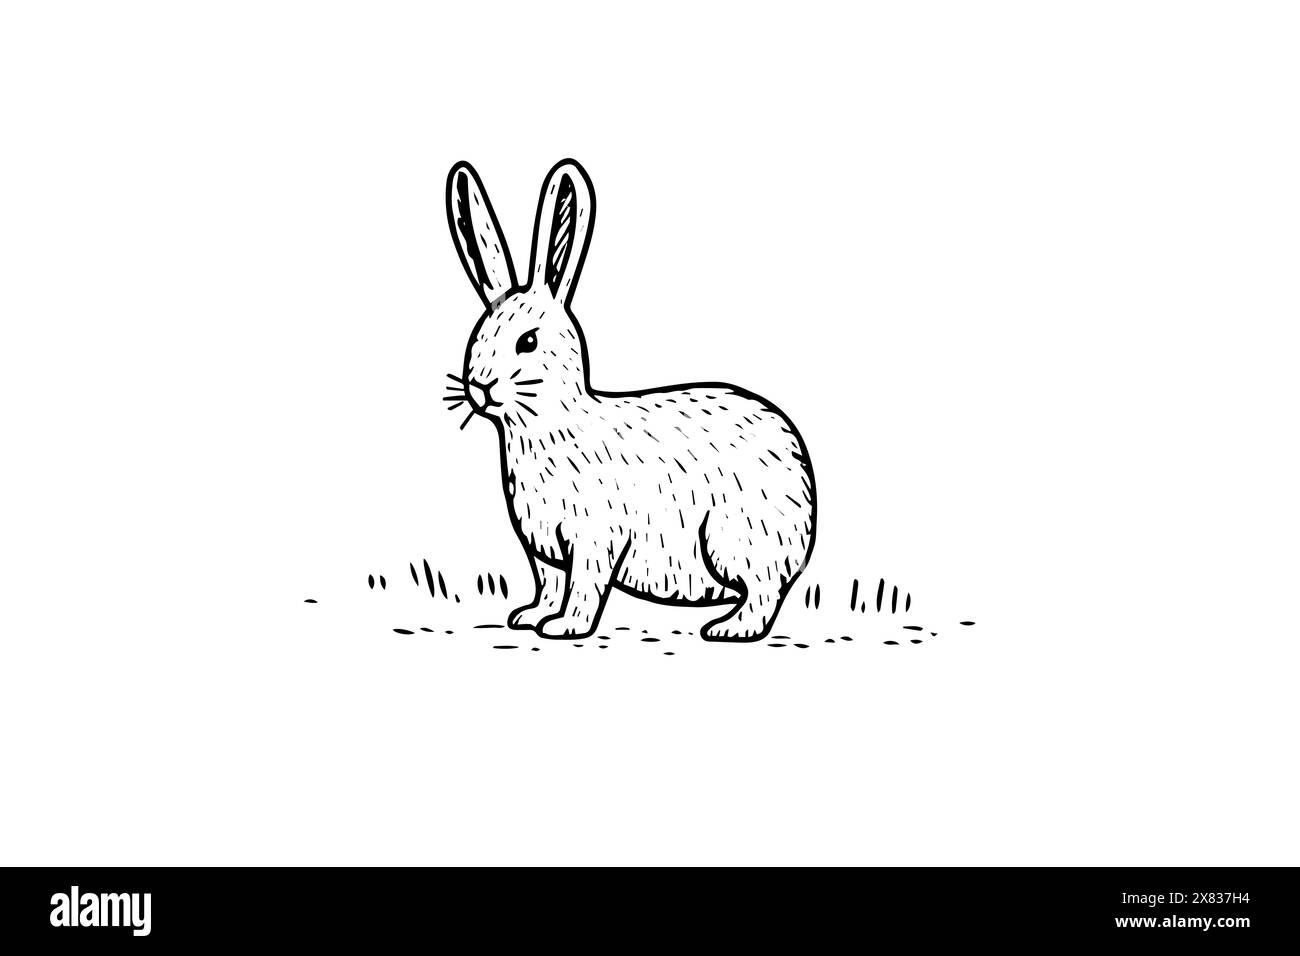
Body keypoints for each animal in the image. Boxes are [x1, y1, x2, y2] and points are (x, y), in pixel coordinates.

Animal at [444, 159, 816, 641]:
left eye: (527, 341)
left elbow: (585, 586)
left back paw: (728, 629)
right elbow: (550, 585)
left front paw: (565, 627)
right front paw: (528, 618)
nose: (480, 387)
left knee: (763, 592)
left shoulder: (594, 537)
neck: (549, 425)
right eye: (477, 335)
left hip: (734, 537)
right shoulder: (545, 553)